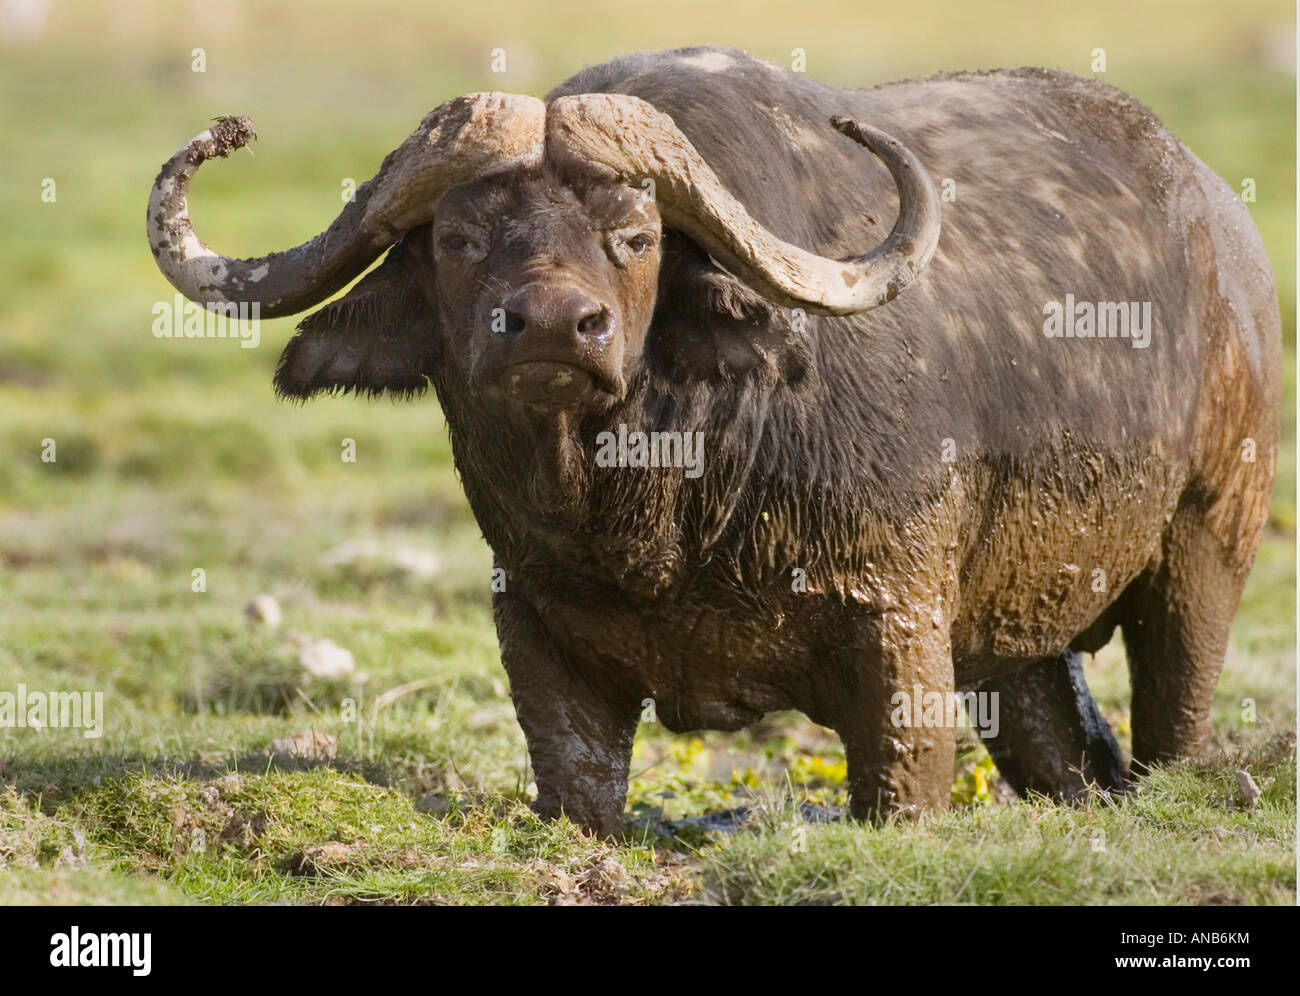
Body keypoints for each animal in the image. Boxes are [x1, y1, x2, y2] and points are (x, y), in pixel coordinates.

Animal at [147, 46, 1280, 836]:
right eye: (458, 239)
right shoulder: (536, 635)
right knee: (1066, 754)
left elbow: (902, 785)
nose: (553, 326)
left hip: (1204, 549)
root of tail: (1223, 230)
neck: (663, 504)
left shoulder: (899, 626)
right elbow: (577, 787)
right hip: (1021, 642)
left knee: (1174, 716)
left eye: (637, 236)